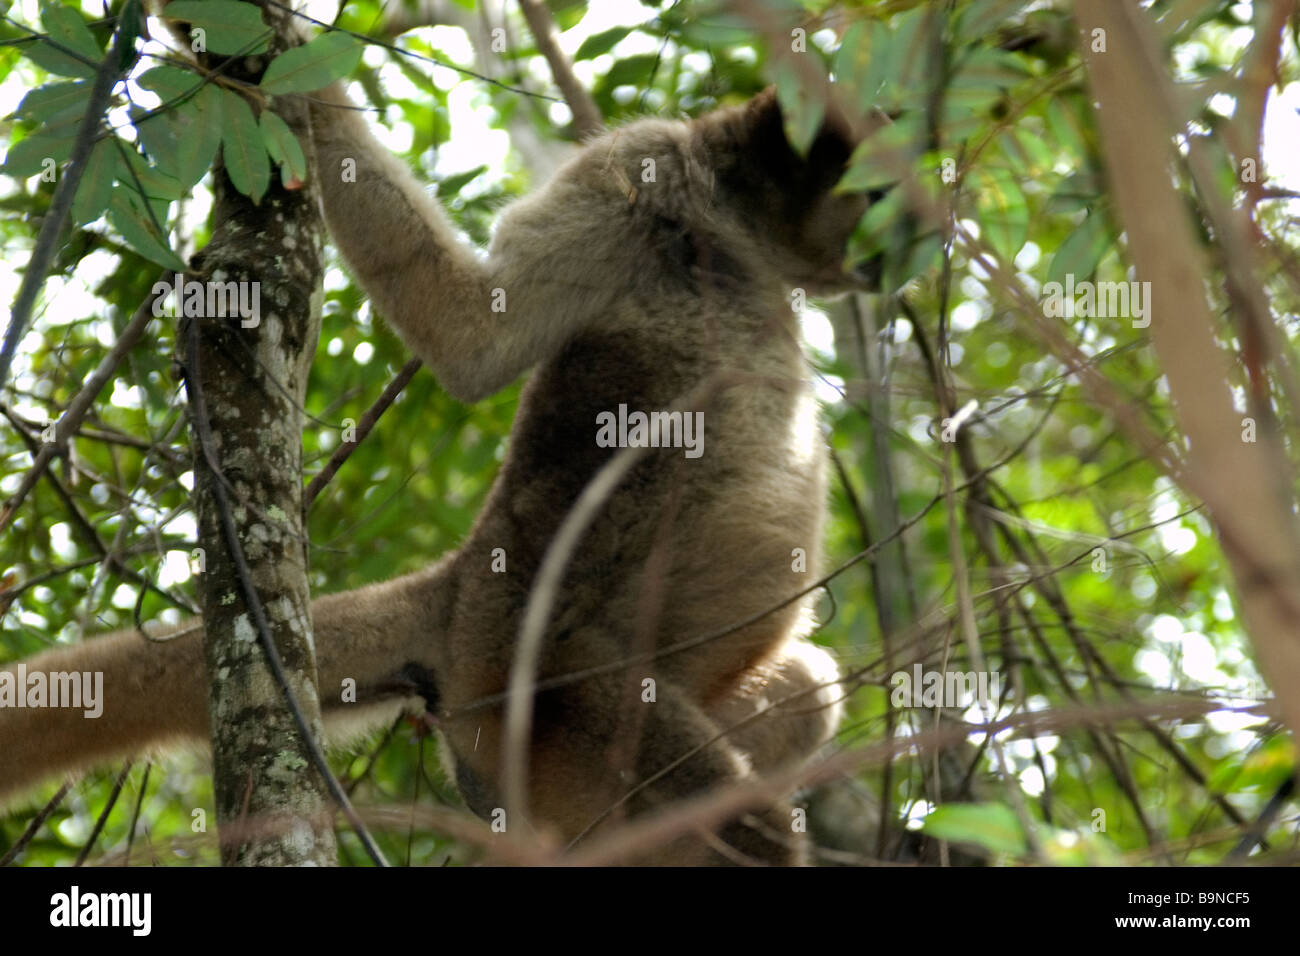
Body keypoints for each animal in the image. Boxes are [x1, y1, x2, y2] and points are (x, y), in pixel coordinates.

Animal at [0, 70, 878, 863]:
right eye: (869, 197)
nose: (879, 261)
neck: (734, 234)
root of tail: (461, 588)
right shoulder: (635, 168)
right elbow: (473, 339)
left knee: (808, 692)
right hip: (549, 694)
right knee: (736, 819)